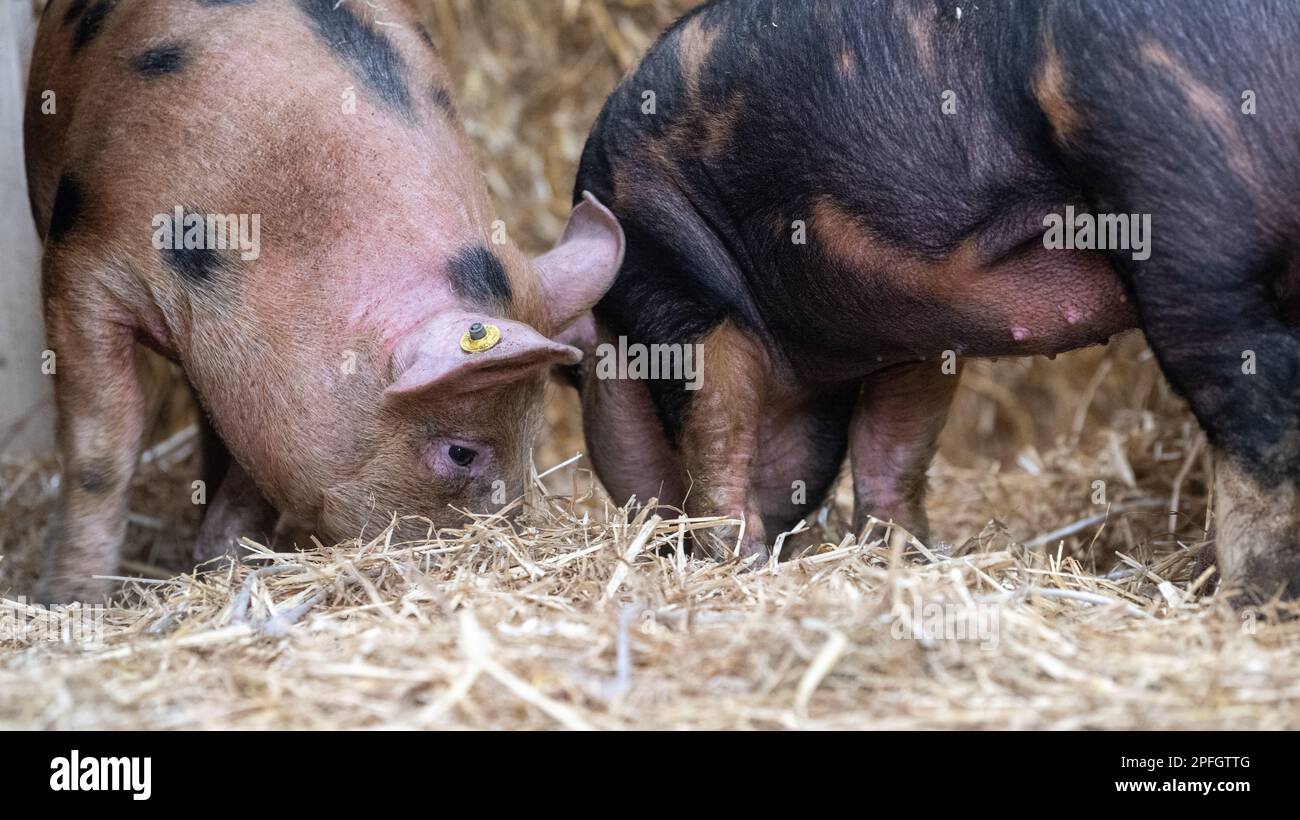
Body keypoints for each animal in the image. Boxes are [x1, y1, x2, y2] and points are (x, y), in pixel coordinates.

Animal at [572, 0, 1300, 601]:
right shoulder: (904, 330)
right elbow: (889, 443)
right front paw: (903, 559)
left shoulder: (678, 284)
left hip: (1190, 228)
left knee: (1253, 415)